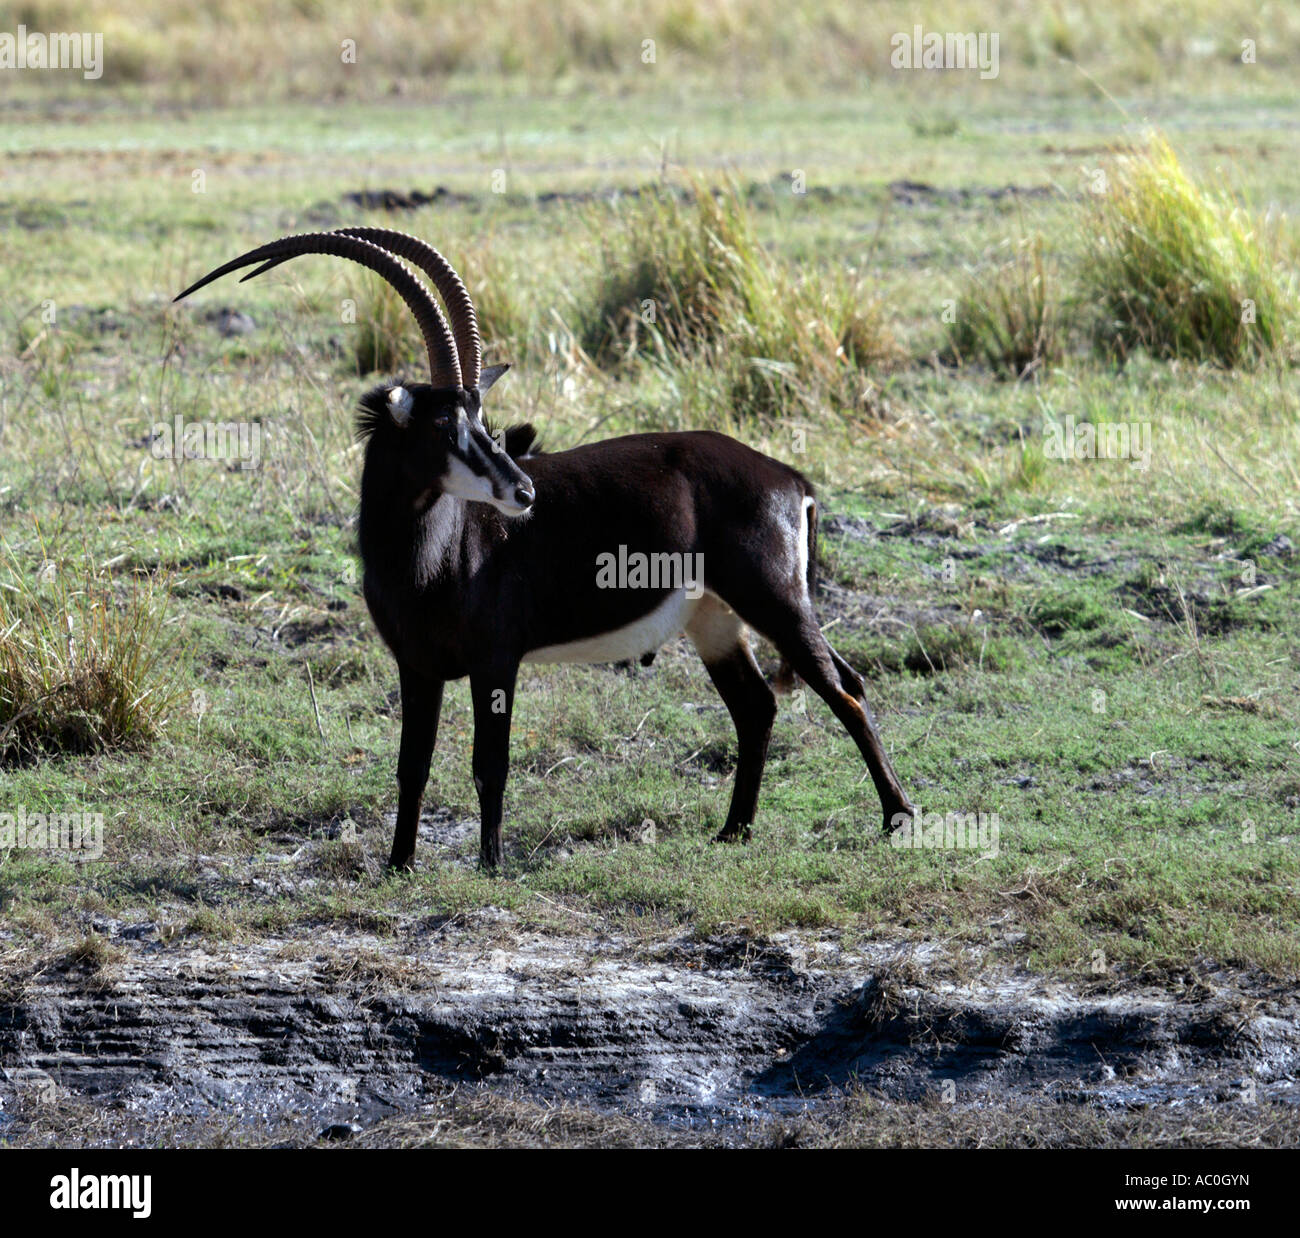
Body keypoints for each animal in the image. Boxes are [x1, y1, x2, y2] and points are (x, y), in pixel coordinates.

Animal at [175, 229, 915, 870]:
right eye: (444, 423)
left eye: (483, 418)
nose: (523, 490)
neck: (424, 558)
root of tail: (790, 479)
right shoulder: (416, 667)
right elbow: (412, 765)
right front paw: (399, 865)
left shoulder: (496, 661)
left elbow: (489, 763)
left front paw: (490, 863)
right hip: (714, 621)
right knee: (757, 706)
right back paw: (734, 830)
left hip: (774, 602)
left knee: (843, 689)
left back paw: (896, 819)